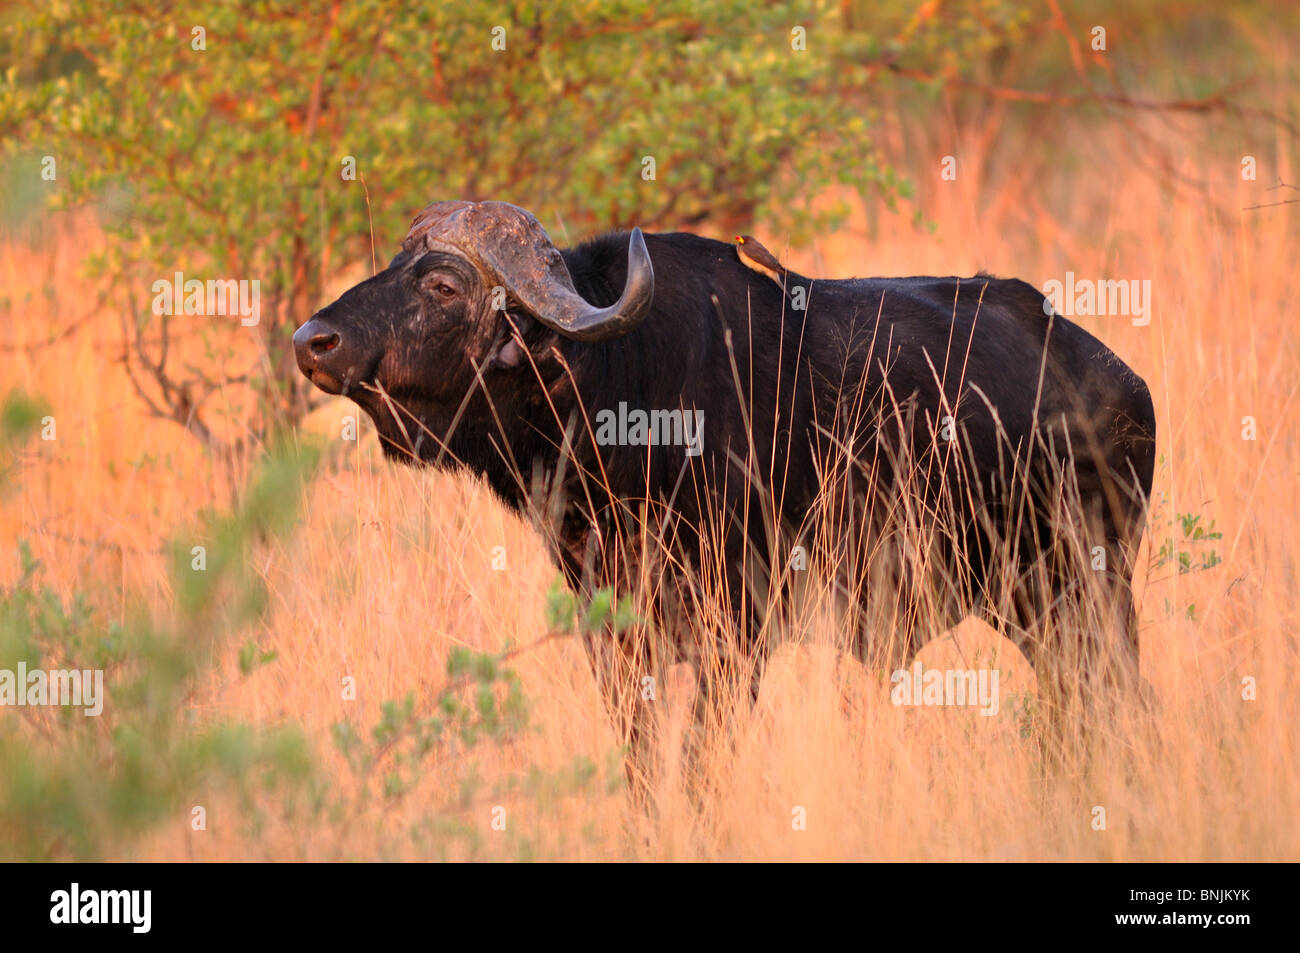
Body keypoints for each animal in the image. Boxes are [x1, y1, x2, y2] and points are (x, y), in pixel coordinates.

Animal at [294, 200, 1156, 790]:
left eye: (442, 283)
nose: (312, 341)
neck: (621, 391)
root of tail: (1121, 382)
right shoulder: (615, 635)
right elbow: (643, 759)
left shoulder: (734, 633)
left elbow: (701, 760)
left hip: (1088, 592)